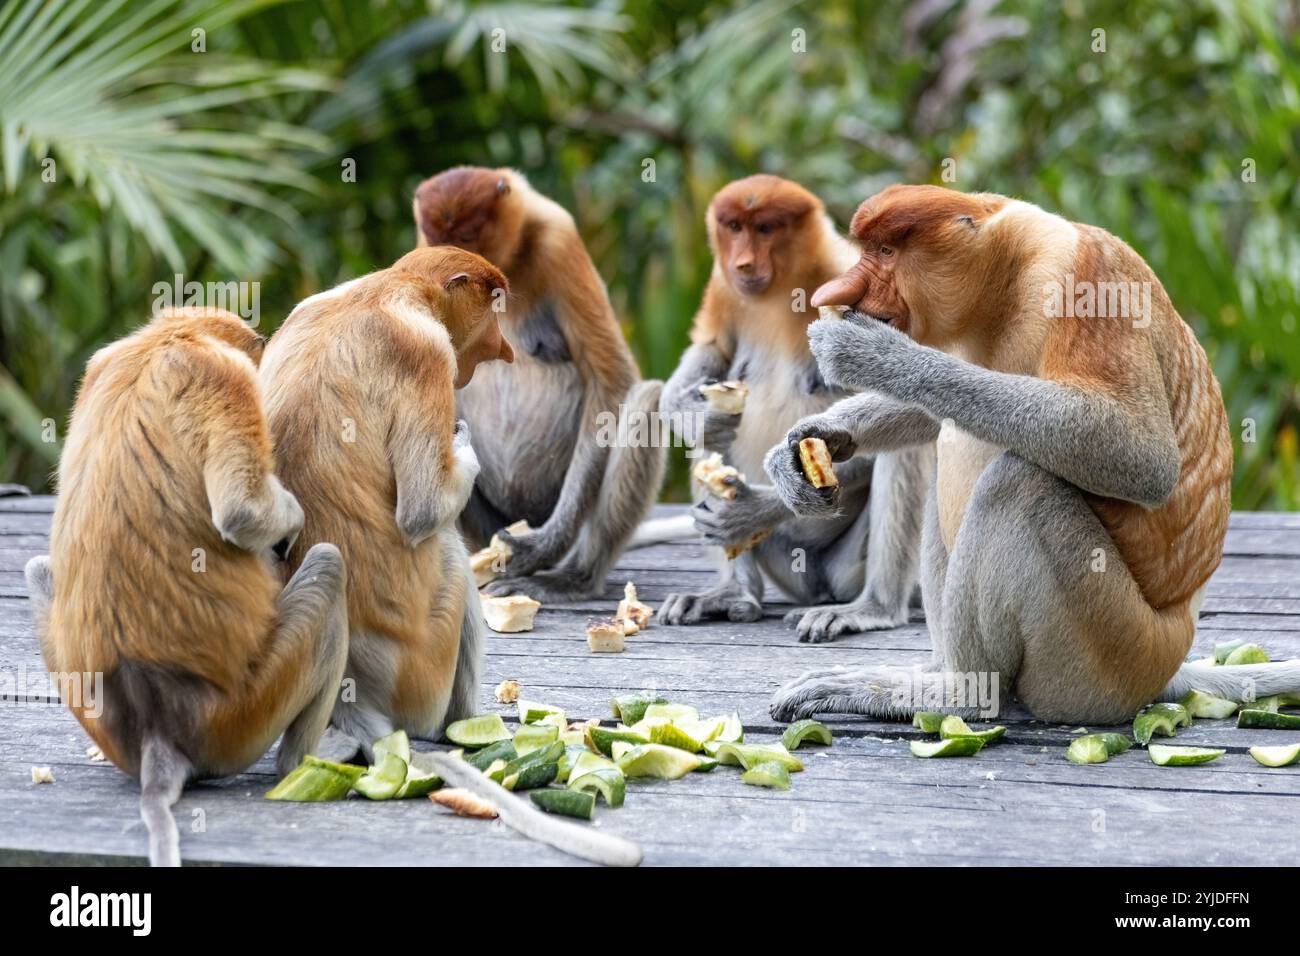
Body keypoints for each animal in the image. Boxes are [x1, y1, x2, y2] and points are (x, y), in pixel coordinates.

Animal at [24, 307, 348, 866]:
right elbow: (242, 513)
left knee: (41, 570)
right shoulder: (222, 376)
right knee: (328, 569)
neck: (164, 340)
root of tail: (157, 725)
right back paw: (303, 766)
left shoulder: (98, 365)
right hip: (242, 713)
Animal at [260, 246, 513, 751]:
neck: (388, 290)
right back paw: (461, 723)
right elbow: (422, 510)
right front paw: (462, 443)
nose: (504, 347)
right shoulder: (429, 353)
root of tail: (350, 693)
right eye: (493, 310)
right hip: (422, 667)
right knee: (450, 553)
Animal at [413, 167, 666, 602]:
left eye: (469, 234)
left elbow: (610, 378)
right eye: (440, 241)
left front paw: (542, 548)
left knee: (646, 400)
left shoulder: (558, 239)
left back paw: (571, 578)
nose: (460, 272)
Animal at [655, 174, 932, 639]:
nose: (743, 264)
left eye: (765, 228)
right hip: (785, 566)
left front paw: (748, 512)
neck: (782, 286)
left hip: (844, 570)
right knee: (714, 436)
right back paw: (732, 594)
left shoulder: (852, 279)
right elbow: (710, 350)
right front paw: (687, 410)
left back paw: (873, 607)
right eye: (734, 226)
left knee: (904, 451)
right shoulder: (722, 290)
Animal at [763, 184, 1300, 726]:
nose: (836, 295)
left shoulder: (1090, 281)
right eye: (870, 250)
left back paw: (956, 692)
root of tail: (1167, 665)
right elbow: (930, 415)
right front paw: (811, 443)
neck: (1006, 280)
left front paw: (869, 353)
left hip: (1109, 647)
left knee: (1019, 483)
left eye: (886, 252)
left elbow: (1142, 455)